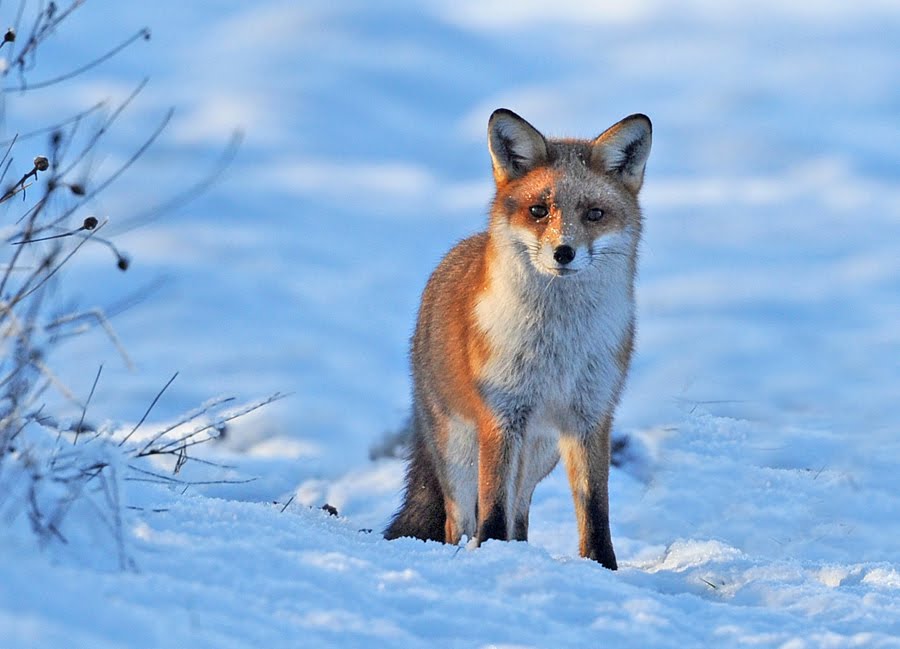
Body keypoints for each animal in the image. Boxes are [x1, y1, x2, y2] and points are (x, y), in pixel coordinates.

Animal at [384, 109, 652, 570]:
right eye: (538, 210)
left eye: (594, 214)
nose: (564, 252)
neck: (559, 345)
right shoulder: (501, 414)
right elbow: (492, 508)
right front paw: (492, 555)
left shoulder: (591, 417)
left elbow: (595, 511)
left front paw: (603, 569)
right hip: (459, 453)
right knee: (460, 519)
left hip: (540, 454)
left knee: (521, 513)